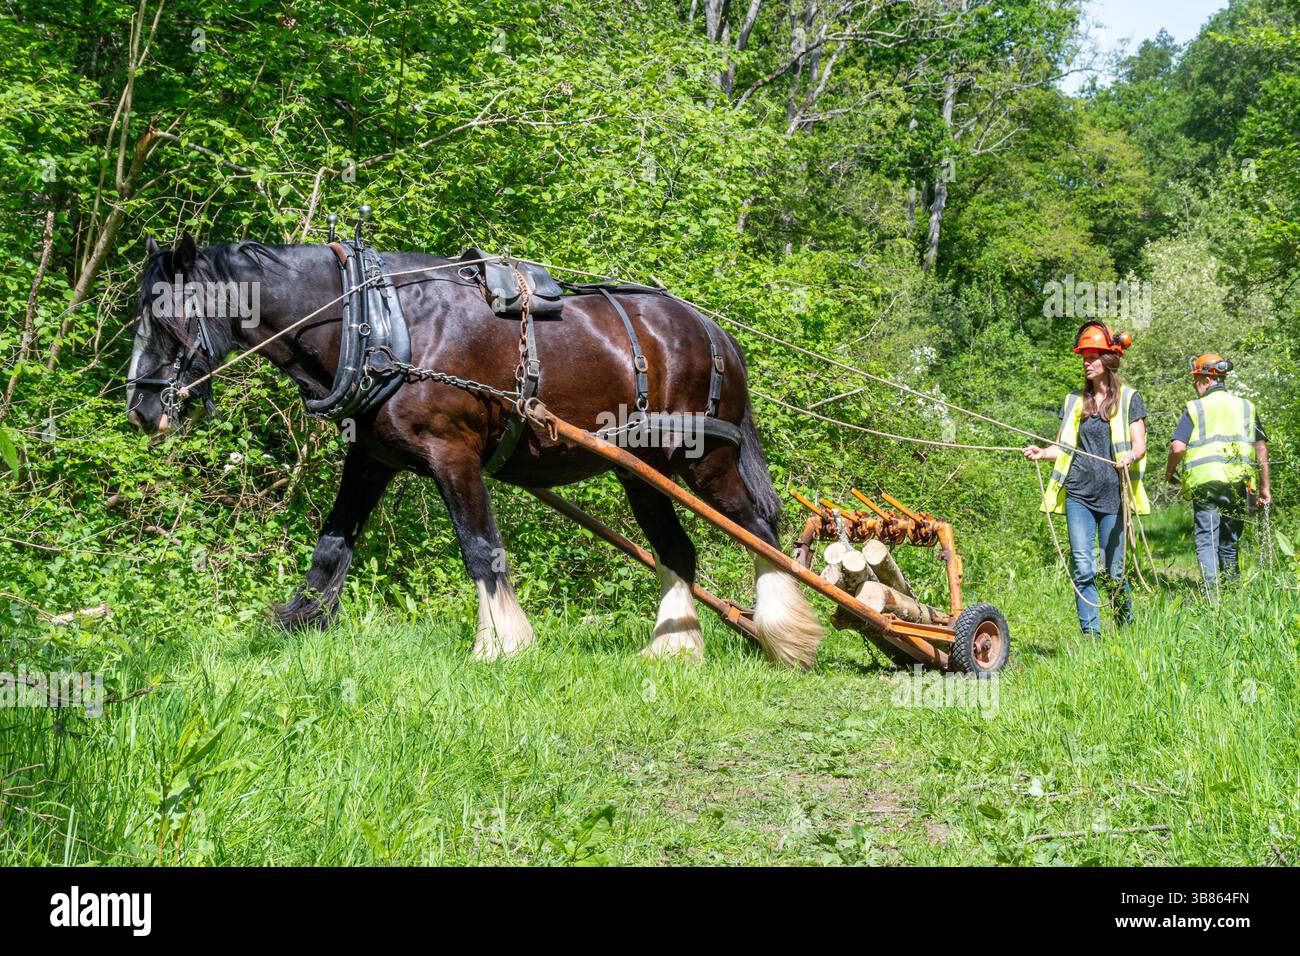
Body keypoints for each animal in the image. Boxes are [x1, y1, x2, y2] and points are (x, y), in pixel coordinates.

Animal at [126, 234, 824, 667]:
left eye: (166, 316)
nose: (141, 408)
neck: (375, 322)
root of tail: (709, 328)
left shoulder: (452, 454)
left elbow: (481, 549)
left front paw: (502, 644)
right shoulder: (371, 459)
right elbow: (331, 547)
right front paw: (298, 624)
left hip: (703, 460)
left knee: (761, 528)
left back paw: (785, 634)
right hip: (642, 471)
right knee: (677, 550)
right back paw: (672, 649)